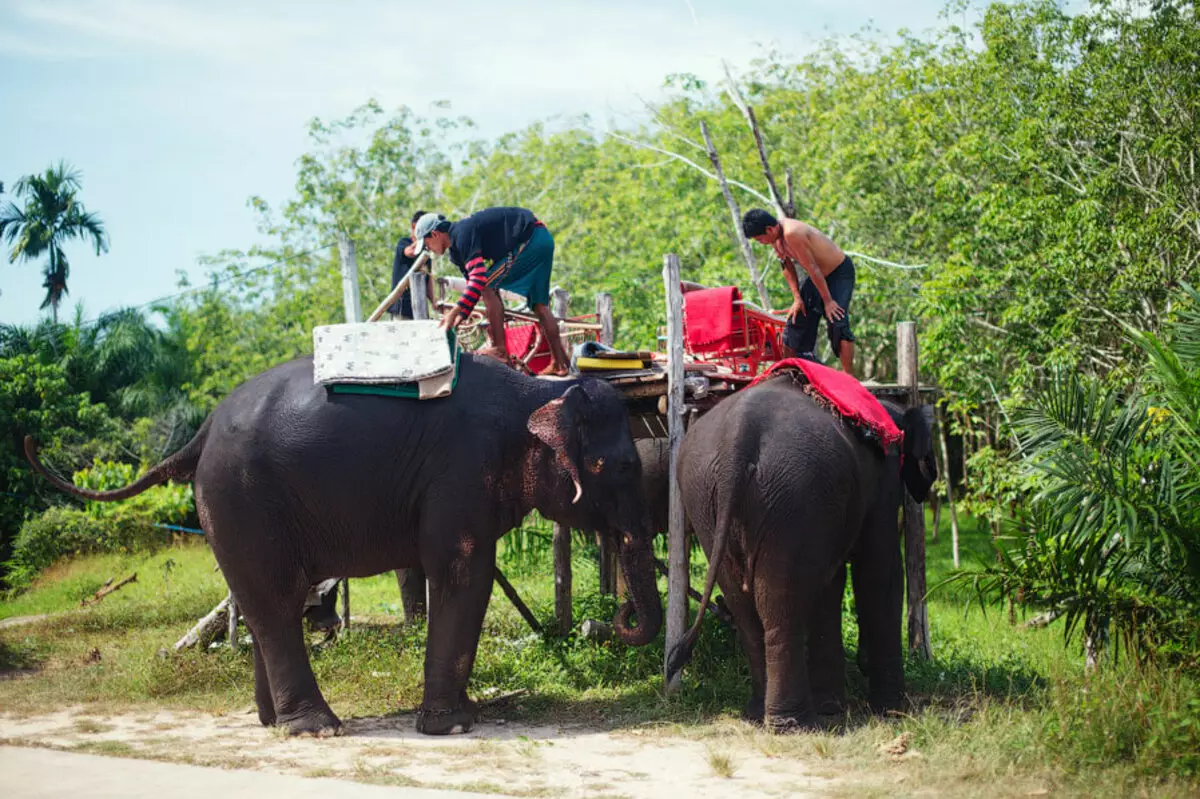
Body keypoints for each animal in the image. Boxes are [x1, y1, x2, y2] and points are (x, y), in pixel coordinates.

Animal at [25, 352, 667, 734]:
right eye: (620, 466)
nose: (614, 619)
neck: (537, 389)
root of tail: (201, 431)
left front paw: (465, 715)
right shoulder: (460, 473)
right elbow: (463, 572)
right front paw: (452, 726)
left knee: (268, 603)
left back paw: (273, 724)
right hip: (240, 499)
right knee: (274, 601)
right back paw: (316, 729)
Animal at [662, 374, 931, 729]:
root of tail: (738, 437)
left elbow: (831, 581)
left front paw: (833, 707)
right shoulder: (883, 477)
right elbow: (879, 571)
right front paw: (892, 711)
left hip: (707, 498)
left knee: (744, 602)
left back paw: (759, 715)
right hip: (792, 492)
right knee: (781, 599)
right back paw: (793, 725)